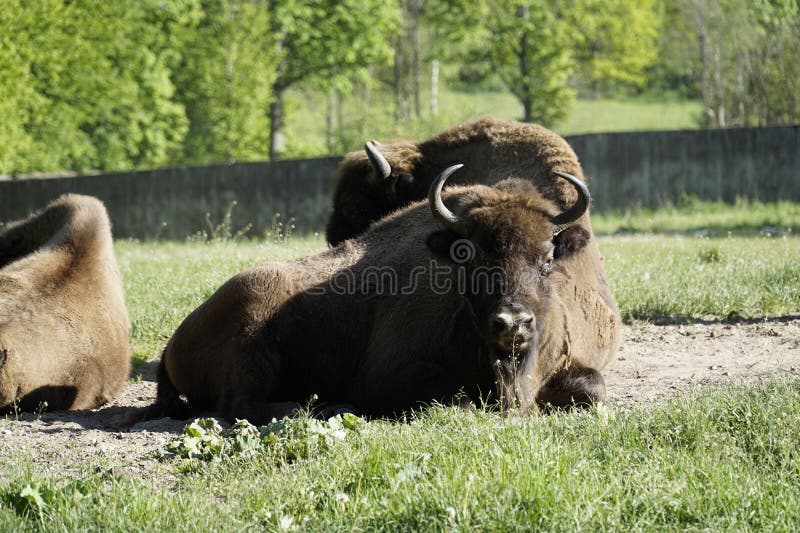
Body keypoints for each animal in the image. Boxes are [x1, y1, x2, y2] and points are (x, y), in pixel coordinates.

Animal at [135, 164, 619, 424]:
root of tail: (173, 342)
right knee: (241, 403)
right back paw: (317, 405)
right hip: (254, 320)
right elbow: (453, 395)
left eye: (547, 259)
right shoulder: (390, 375)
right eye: (468, 255)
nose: (511, 324)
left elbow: (593, 387)